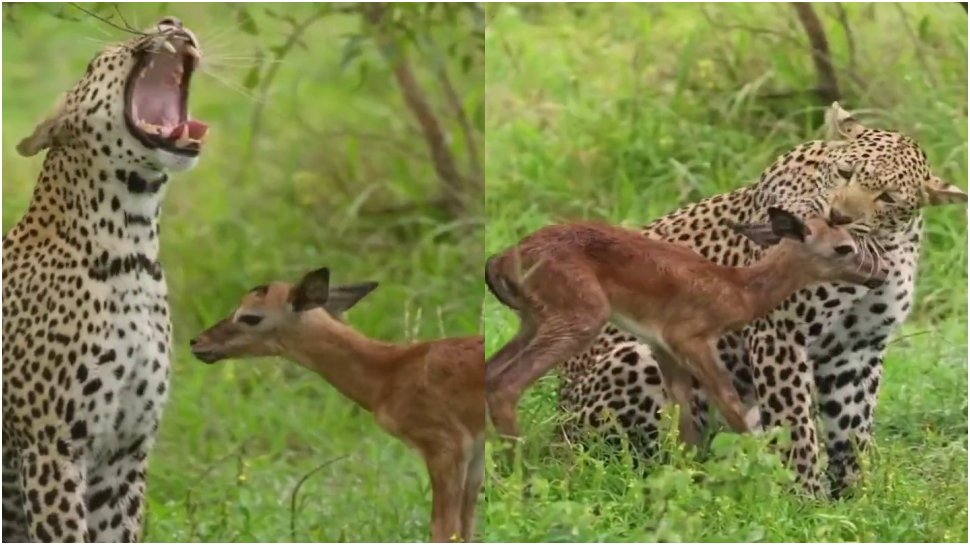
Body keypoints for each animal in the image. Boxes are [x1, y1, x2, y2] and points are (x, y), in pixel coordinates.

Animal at [189, 267, 485, 543]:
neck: (388, 375)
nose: (197, 342)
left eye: (250, 316)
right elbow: (465, 528)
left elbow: (444, 529)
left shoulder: (445, 443)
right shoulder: (472, 452)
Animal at [484, 207, 886, 447]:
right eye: (843, 247)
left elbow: (685, 416)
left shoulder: (663, 345)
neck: (737, 291)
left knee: (489, 372)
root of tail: (502, 259)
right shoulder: (691, 338)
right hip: (581, 317)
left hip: (533, 320)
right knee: (506, 384)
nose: (879, 273)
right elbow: (730, 406)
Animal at [557, 103, 967, 498]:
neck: (885, 246)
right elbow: (795, 424)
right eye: (845, 173)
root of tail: (557, 426)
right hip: (642, 356)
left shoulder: (857, 349)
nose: (839, 216)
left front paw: (857, 497)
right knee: (641, 460)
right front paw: (806, 500)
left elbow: (852, 429)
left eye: (887, 197)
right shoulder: (779, 333)